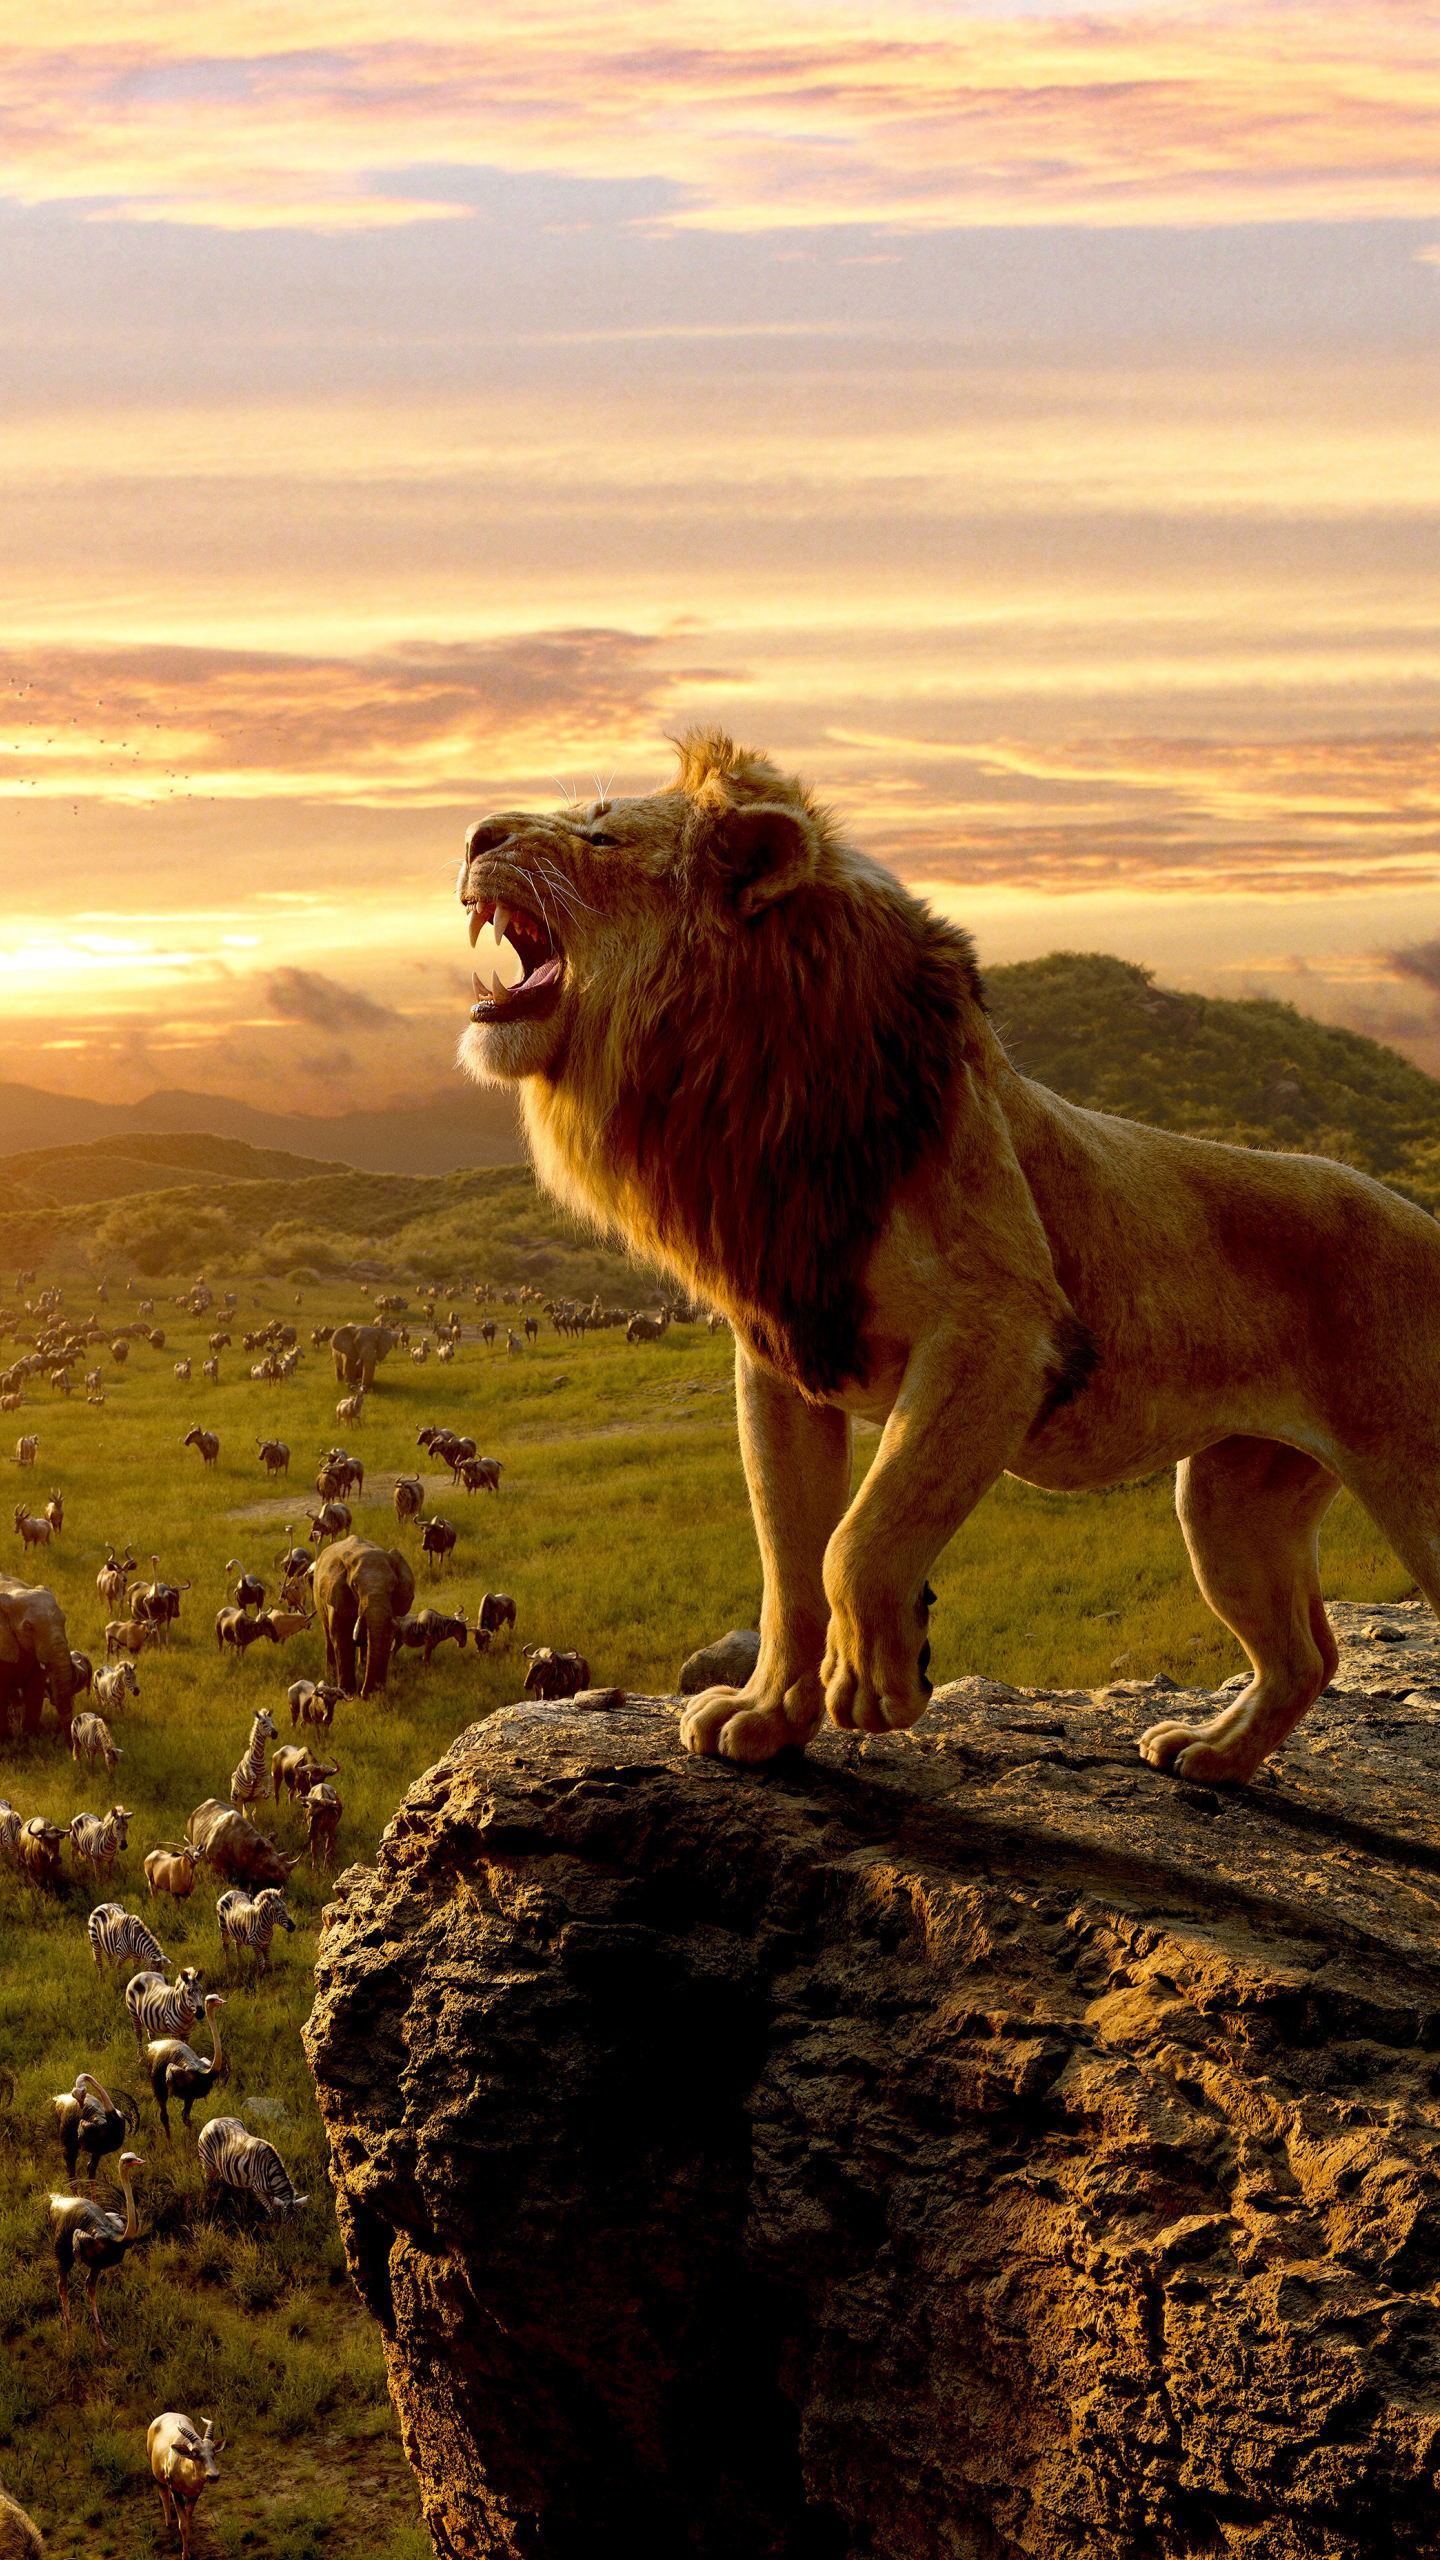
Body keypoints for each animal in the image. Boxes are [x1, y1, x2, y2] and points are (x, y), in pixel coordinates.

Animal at [457, 728, 1440, 1783]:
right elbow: (787, 1562)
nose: (474, 834)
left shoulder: (999, 1335)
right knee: (1305, 1653)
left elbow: (859, 1537)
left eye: (599, 836)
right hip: (1230, 1502)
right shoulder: (782, 1356)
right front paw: (765, 1717)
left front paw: (879, 1683)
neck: (748, 1093)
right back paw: (1210, 1753)